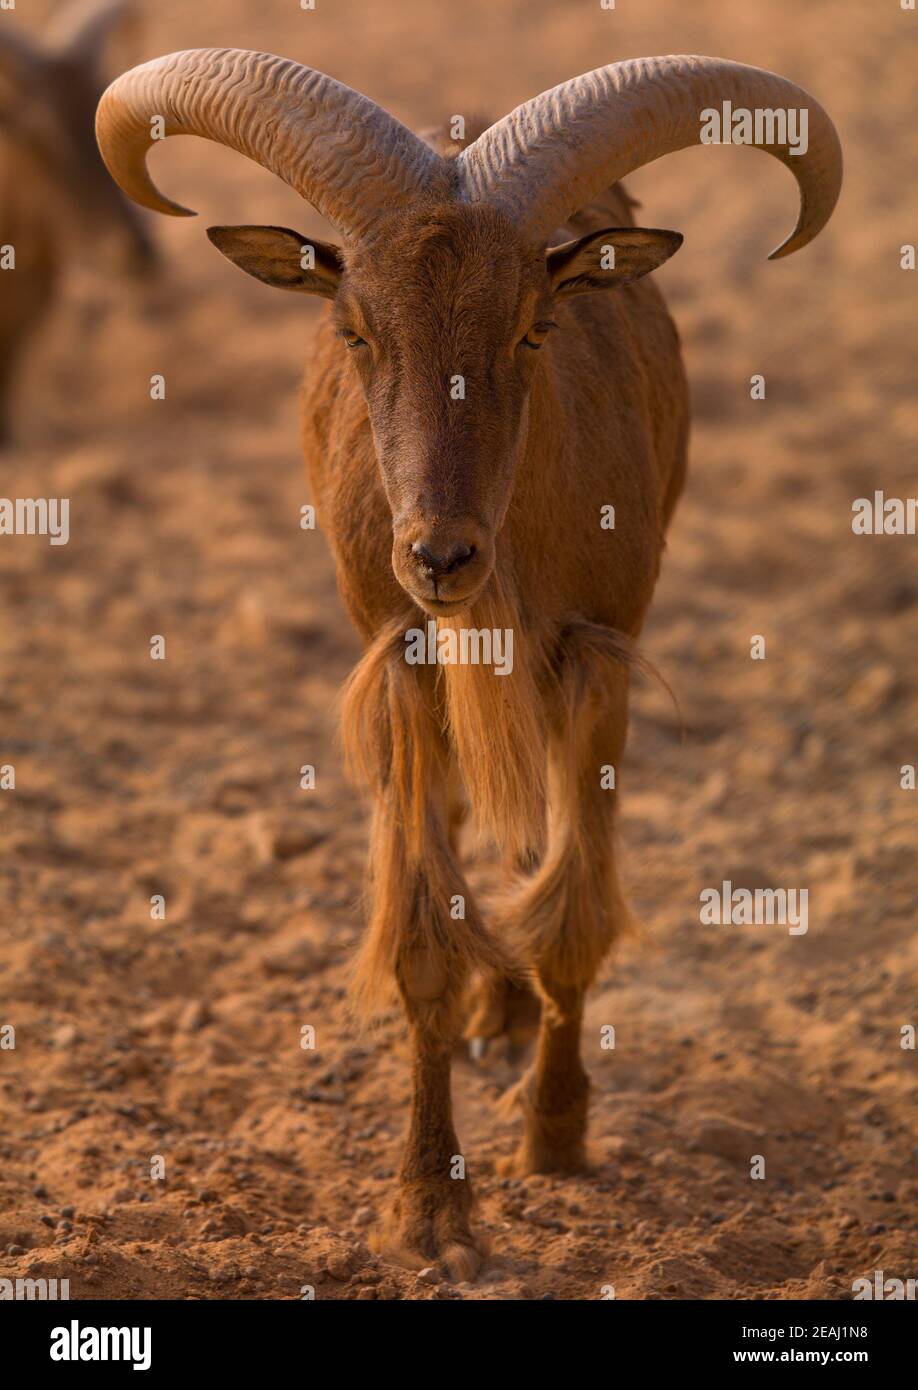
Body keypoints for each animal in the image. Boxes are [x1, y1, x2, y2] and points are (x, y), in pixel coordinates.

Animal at [95, 48, 842, 1278]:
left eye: (534, 329)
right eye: (356, 332)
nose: (440, 556)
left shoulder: (598, 653)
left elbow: (574, 908)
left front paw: (556, 1134)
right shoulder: (403, 662)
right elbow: (422, 943)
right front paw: (431, 1209)